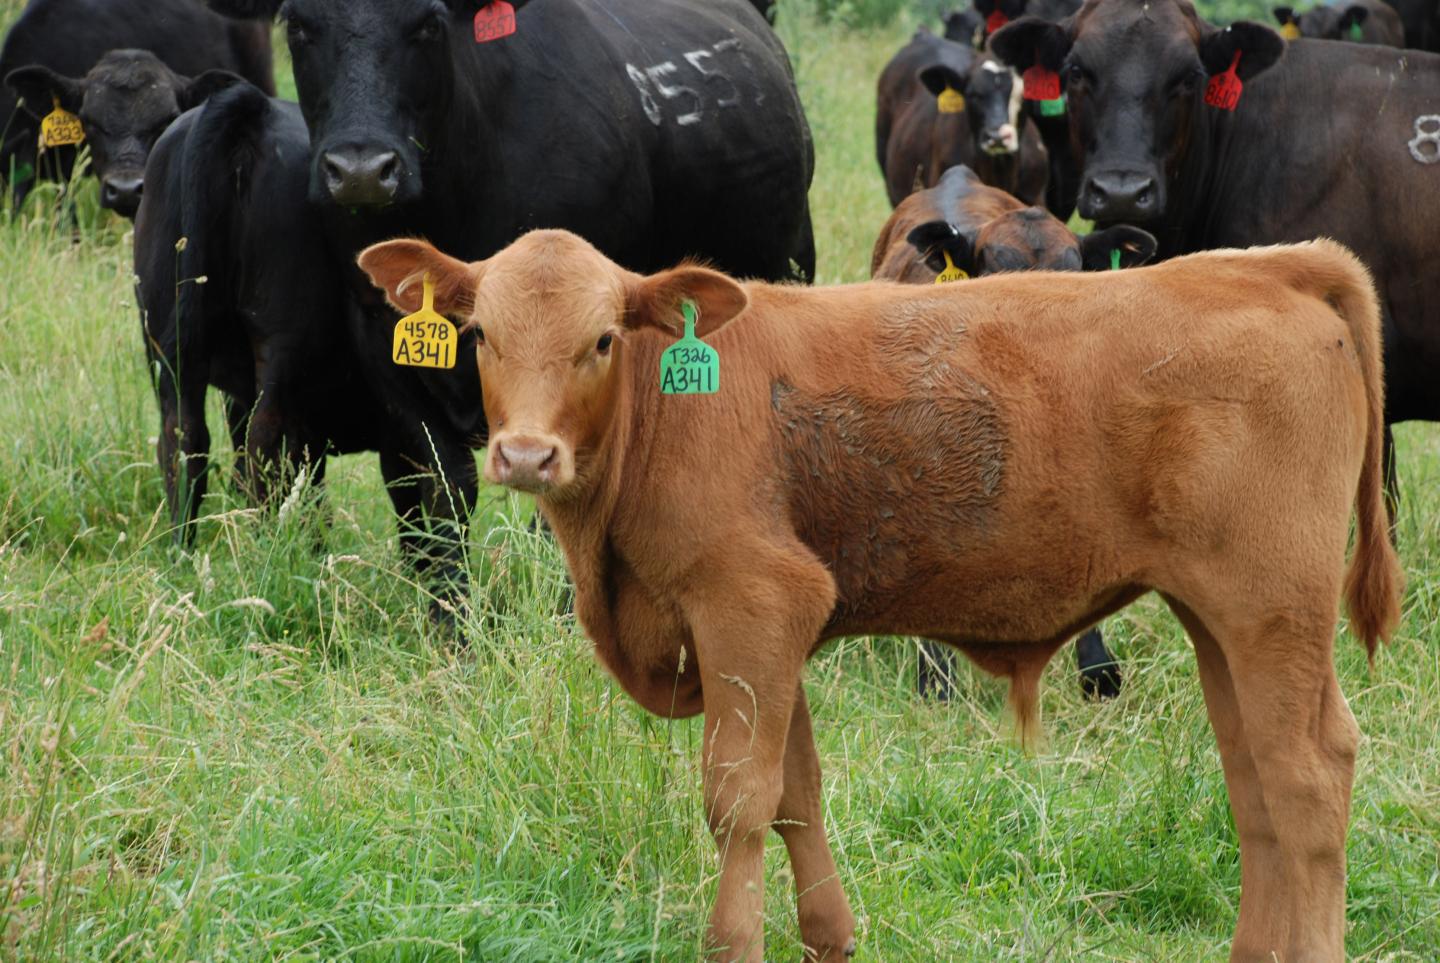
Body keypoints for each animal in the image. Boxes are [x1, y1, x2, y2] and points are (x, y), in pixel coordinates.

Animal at [133, 82, 384, 544]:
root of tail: (254, 107)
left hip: (165, 339)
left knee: (183, 440)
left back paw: (182, 547)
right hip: (283, 339)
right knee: (264, 443)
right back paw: (271, 545)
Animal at [198, 0, 814, 614]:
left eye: (429, 23)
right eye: (298, 25)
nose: (361, 170)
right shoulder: (385, 352)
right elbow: (440, 493)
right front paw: (448, 619)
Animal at [359, 229, 1399, 963]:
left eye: (603, 338)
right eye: (481, 335)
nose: (525, 454)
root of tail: (1271, 266)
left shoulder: (752, 603)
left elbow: (739, 797)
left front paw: (732, 942)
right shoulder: (774, 633)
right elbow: (796, 792)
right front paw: (828, 935)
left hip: (1273, 610)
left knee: (1309, 776)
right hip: (1220, 618)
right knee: (1253, 779)